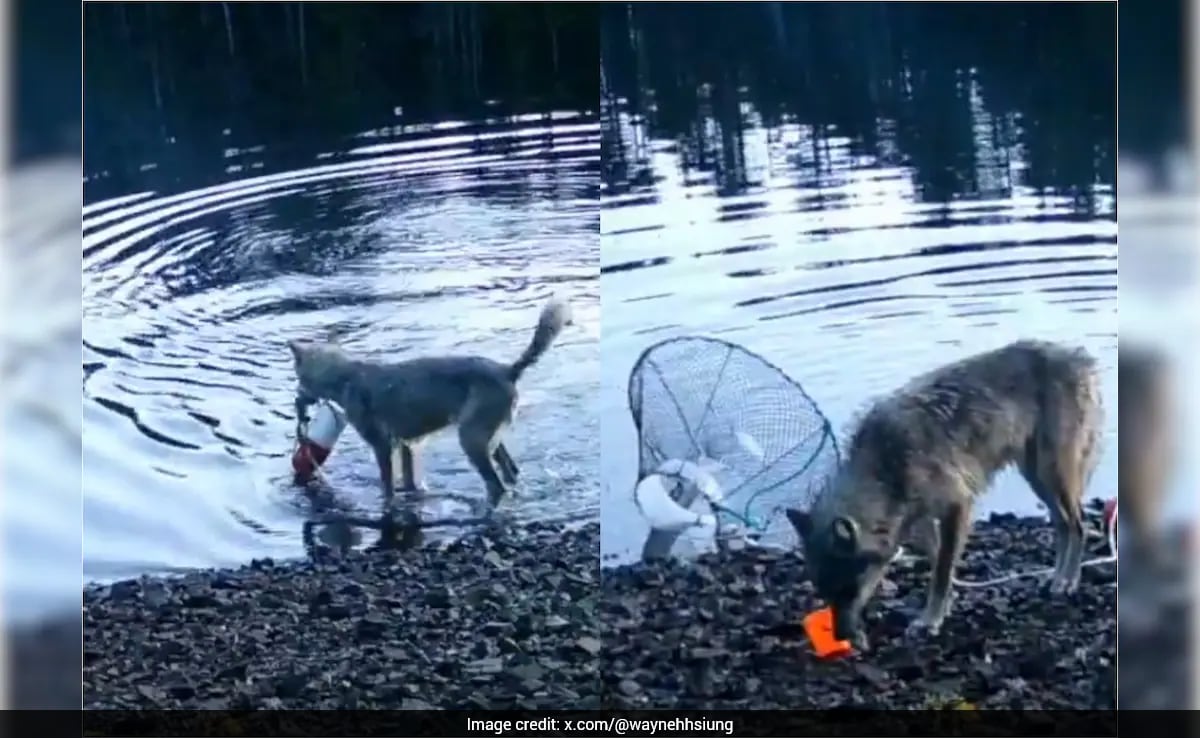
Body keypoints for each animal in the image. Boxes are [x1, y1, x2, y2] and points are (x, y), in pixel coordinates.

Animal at [288, 298, 572, 509]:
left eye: (298, 377)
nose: (297, 400)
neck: (345, 376)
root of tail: (508, 370)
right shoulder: (407, 444)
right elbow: (409, 480)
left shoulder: (382, 445)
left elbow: (387, 484)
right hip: (487, 436)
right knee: (510, 470)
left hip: (471, 439)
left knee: (496, 484)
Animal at [785, 340, 1104, 649]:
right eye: (825, 593)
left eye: (849, 591)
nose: (842, 637)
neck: (886, 467)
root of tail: (1081, 358)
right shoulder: (922, 518)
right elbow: (939, 562)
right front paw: (943, 608)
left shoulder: (957, 507)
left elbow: (941, 571)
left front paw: (930, 620)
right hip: (1038, 477)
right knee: (1064, 524)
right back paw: (1057, 577)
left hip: (1051, 473)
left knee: (1080, 523)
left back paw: (1067, 581)